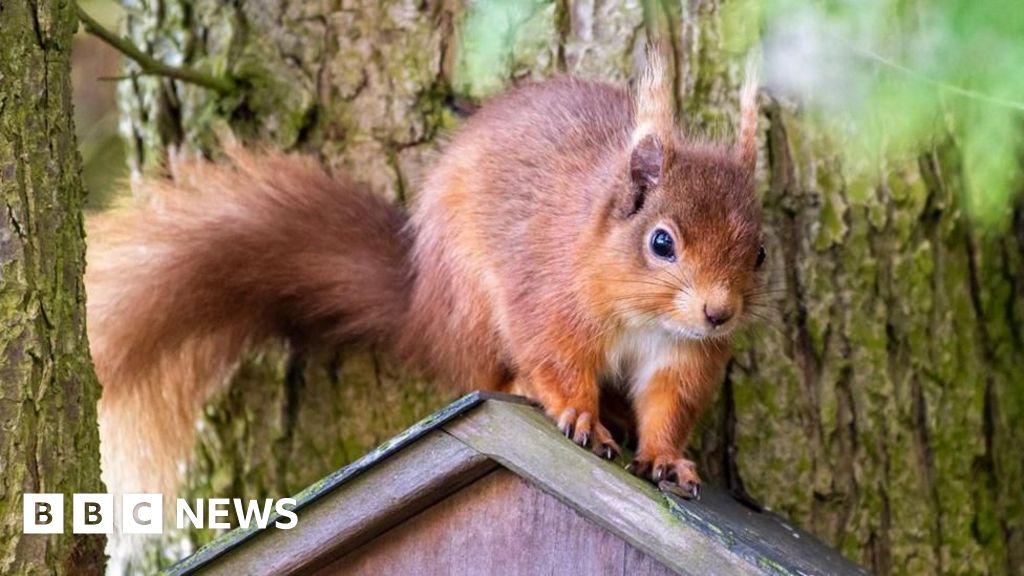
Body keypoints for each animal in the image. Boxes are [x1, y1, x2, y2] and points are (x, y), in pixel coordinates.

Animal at [86, 53, 763, 503]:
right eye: (661, 242)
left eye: (758, 253)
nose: (719, 314)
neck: (644, 317)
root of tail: (422, 309)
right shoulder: (546, 300)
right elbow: (556, 360)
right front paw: (578, 414)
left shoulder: (683, 357)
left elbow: (668, 406)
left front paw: (667, 460)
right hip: (470, 306)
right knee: (484, 370)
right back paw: (531, 388)